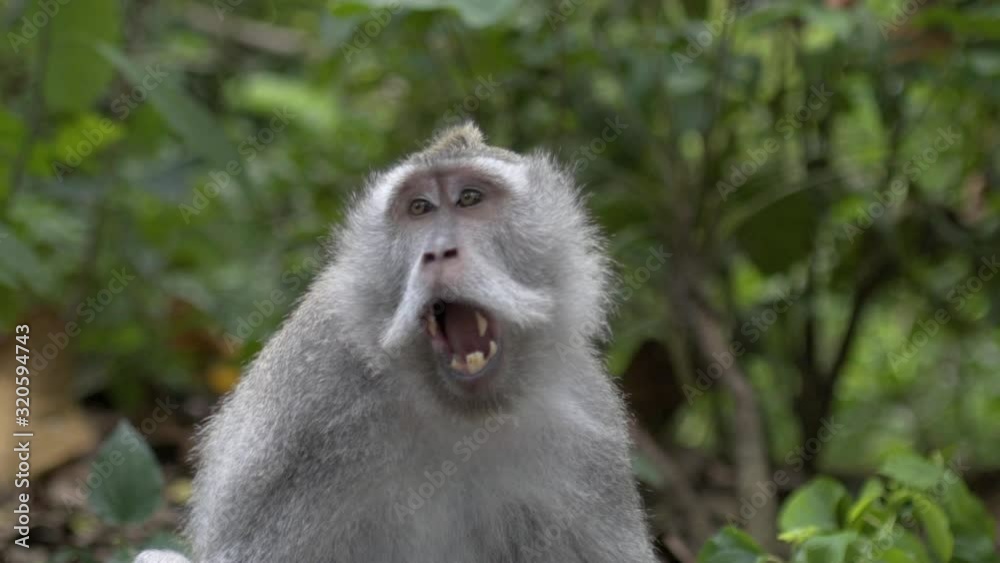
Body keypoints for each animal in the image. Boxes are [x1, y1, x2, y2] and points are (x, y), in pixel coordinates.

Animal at [136, 123, 659, 563]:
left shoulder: (588, 423)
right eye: (420, 209)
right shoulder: (307, 413)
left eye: (470, 198)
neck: (461, 414)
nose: (438, 251)